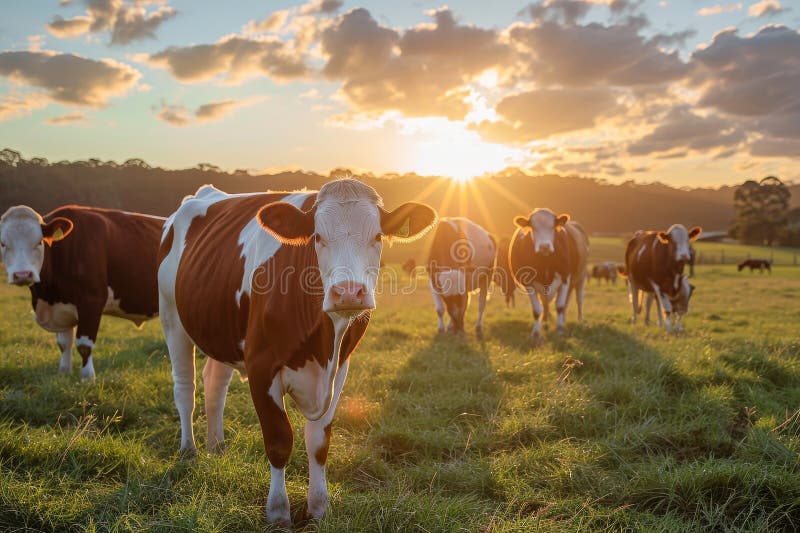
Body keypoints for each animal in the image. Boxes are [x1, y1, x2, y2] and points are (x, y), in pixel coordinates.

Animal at [0, 205, 162, 380]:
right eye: (2, 244)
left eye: (39, 242)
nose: (23, 274)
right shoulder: (61, 307)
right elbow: (64, 344)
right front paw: (63, 374)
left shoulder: (92, 301)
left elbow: (84, 345)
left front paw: (88, 378)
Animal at [157, 179, 436, 526]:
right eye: (317, 237)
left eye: (378, 236)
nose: (348, 292)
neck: (321, 345)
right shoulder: (260, 365)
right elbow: (279, 439)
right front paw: (278, 512)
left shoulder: (340, 368)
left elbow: (318, 442)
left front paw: (318, 507)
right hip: (172, 318)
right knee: (185, 388)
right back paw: (189, 450)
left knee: (214, 385)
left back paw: (216, 446)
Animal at [509, 209, 589, 346]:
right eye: (533, 227)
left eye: (552, 227)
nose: (544, 246)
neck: (545, 262)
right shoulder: (529, 283)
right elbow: (537, 310)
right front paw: (536, 334)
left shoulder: (565, 278)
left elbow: (560, 306)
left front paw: (560, 331)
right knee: (546, 303)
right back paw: (546, 323)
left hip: (581, 276)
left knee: (578, 300)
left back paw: (578, 321)